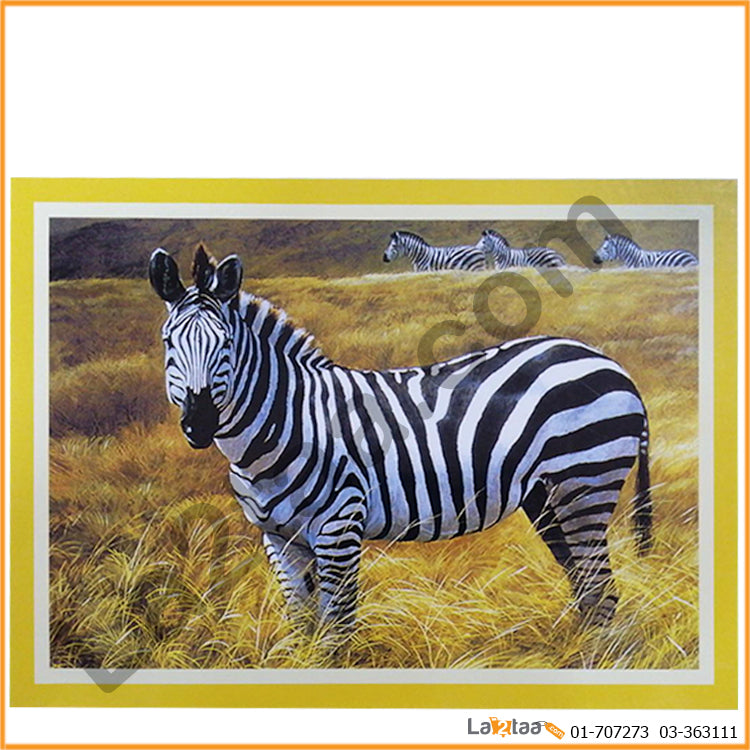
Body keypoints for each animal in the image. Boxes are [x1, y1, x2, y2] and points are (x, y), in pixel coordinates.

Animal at [149, 245, 653, 633]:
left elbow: (336, 632)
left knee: (602, 592)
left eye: (226, 345)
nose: (198, 424)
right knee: (588, 589)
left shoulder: (339, 528)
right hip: (546, 496)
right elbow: (301, 628)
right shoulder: (279, 539)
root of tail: (609, 363)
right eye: (168, 343)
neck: (288, 424)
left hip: (585, 481)